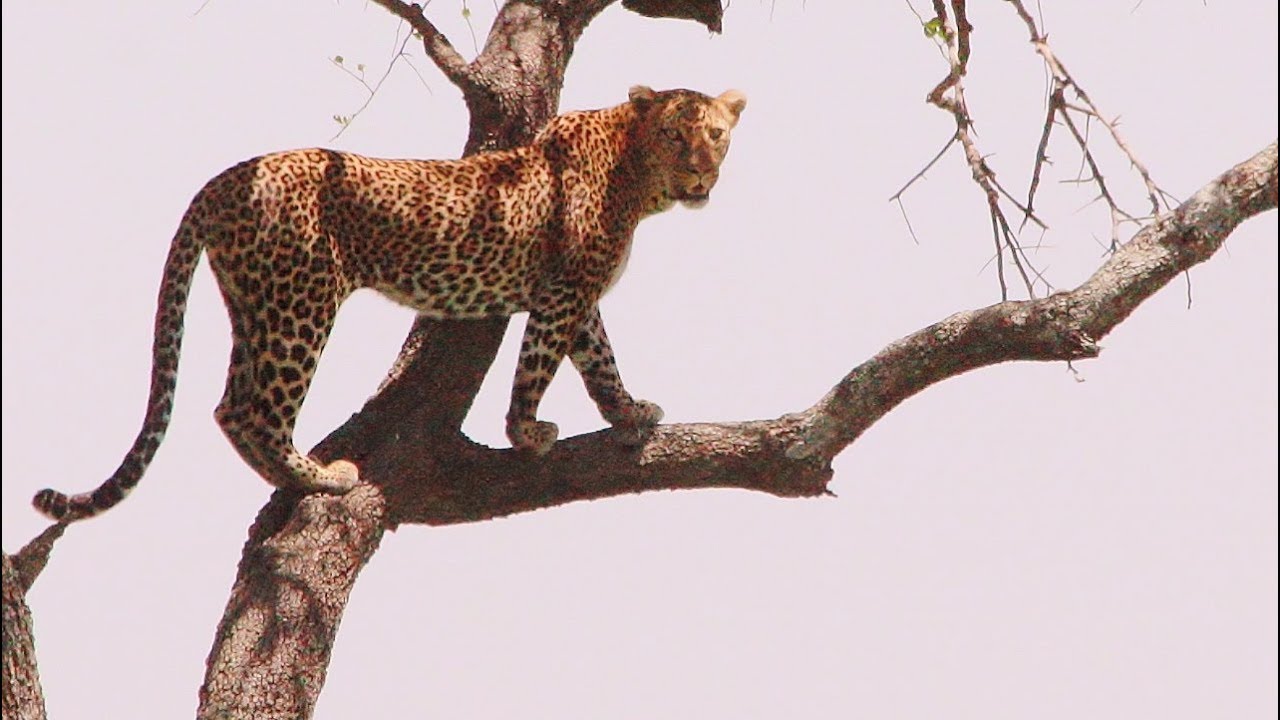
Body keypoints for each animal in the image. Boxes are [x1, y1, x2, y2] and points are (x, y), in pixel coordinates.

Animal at [32, 85, 747, 522]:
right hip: (301, 301)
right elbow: (539, 363)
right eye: (674, 136)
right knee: (254, 409)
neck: (635, 174)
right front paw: (526, 433)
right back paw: (321, 477)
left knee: (230, 402)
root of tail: (224, 180)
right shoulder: (564, 290)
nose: (699, 173)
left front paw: (628, 411)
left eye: (715, 134)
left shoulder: (577, 291)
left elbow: (599, 357)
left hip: (255, 302)